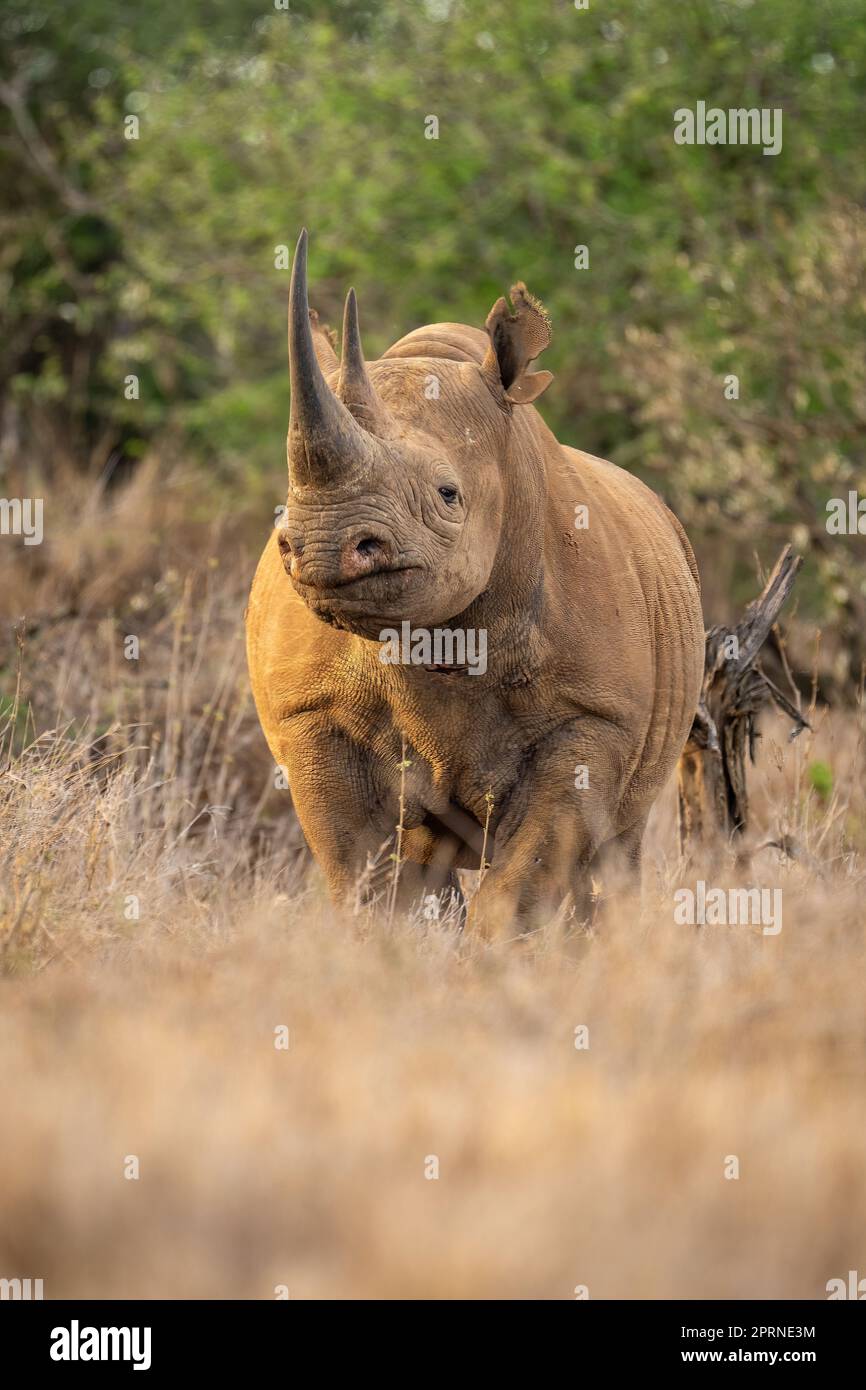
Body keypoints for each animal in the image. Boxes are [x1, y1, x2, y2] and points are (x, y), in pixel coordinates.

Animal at [246, 231, 705, 932]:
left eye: (447, 495)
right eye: (288, 502)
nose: (324, 545)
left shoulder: (593, 718)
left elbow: (526, 880)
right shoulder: (311, 714)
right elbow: (367, 881)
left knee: (615, 849)